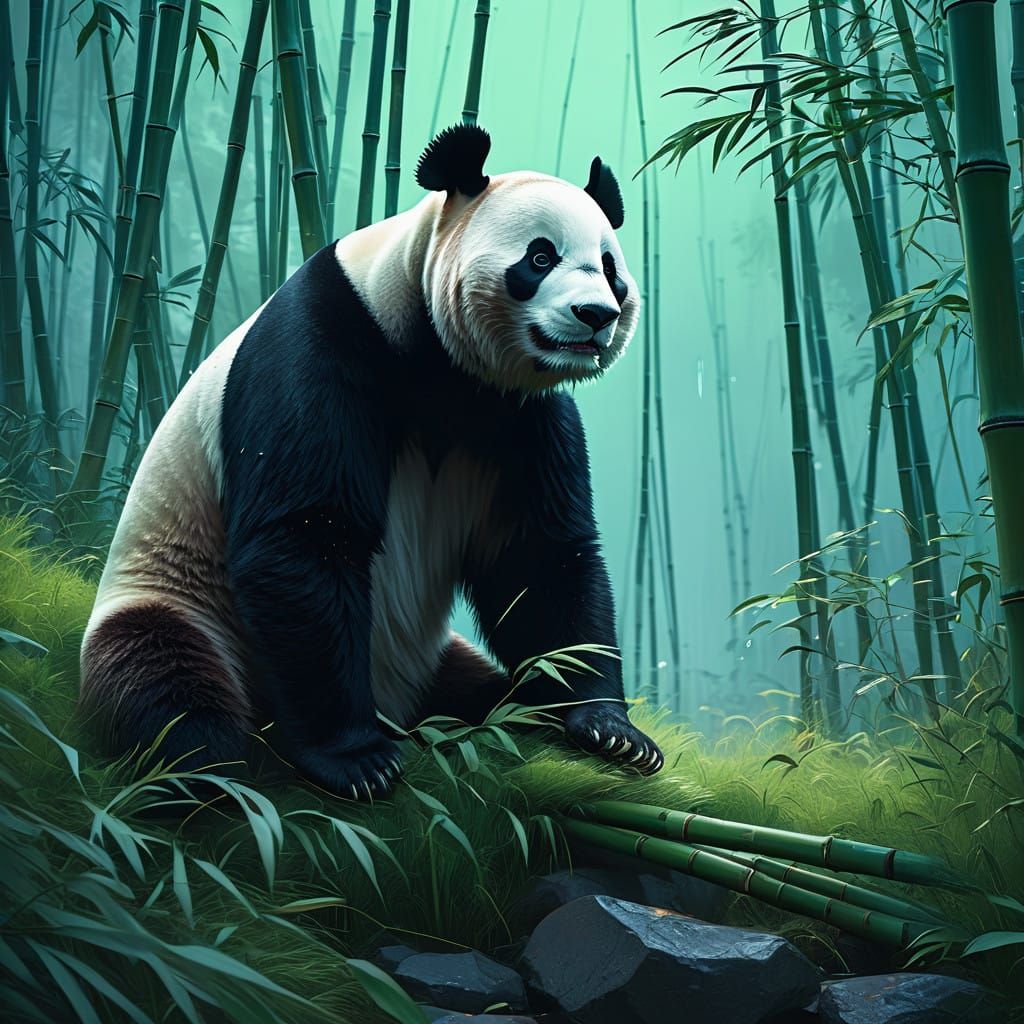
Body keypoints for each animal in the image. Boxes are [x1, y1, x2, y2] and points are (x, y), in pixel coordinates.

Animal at [79, 125, 665, 800]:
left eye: (610, 268)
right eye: (540, 258)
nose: (597, 316)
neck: (441, 358)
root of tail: (403, 708)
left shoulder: (521, 413)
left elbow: (539, 558)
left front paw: (608, 729)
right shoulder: (323, 339)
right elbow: (306, 533)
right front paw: (356, 758)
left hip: (438, 659)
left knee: (488, 699)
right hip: (180, 601)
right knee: (168, 687)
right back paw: (208, 773)